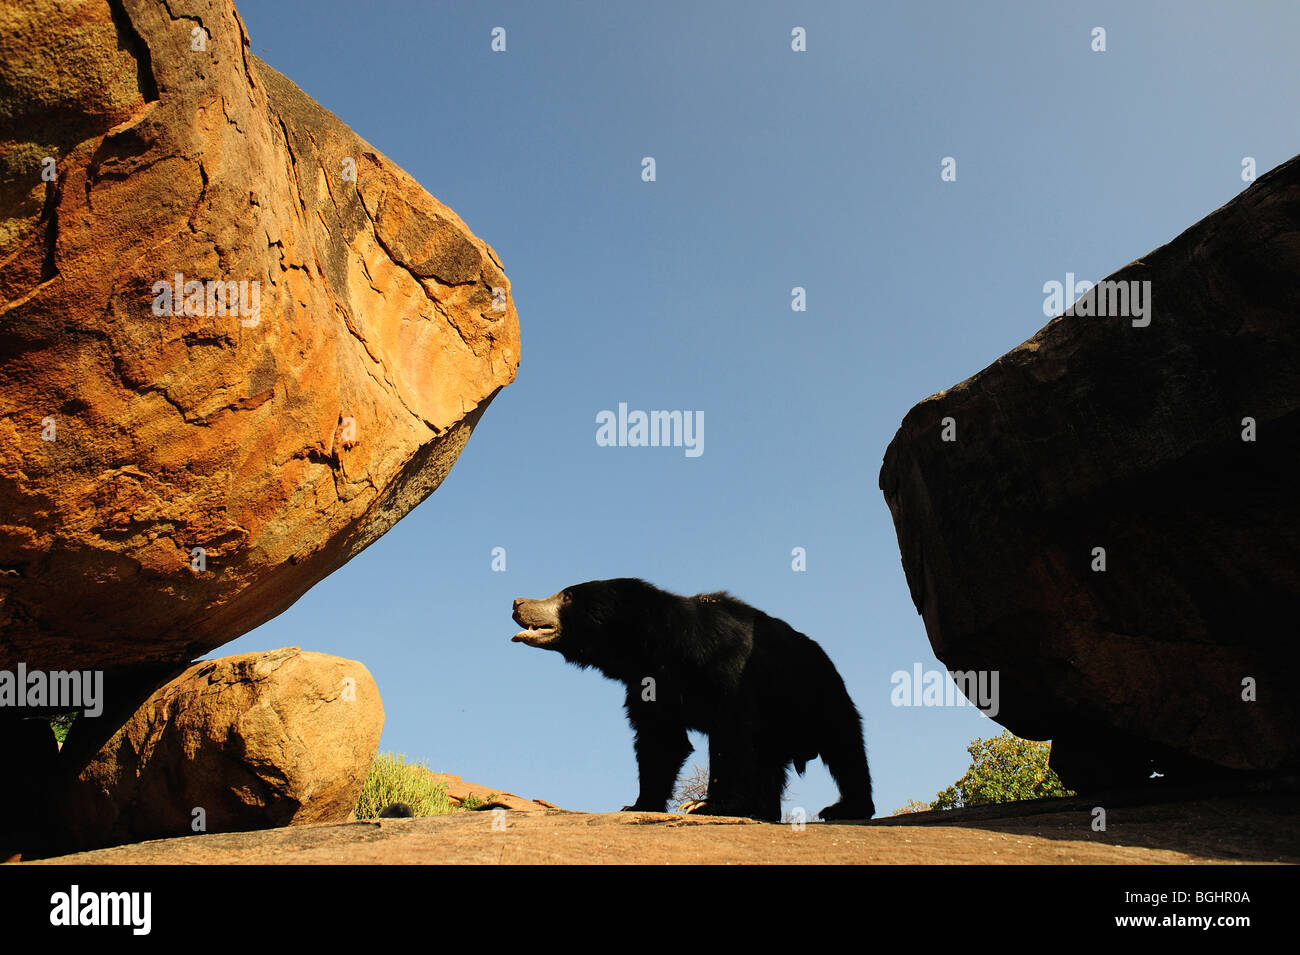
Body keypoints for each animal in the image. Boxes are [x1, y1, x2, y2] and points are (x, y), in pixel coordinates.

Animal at [511, 578, 874, 822]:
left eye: (568, 595)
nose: (517, 602)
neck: (654, 650)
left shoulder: (728, 670)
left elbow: (731, 737)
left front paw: (707, 805)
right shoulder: (647, 685)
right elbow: (660, 741)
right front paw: (639, 803)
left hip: (817, 695)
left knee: (845, 748)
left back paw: (845, 807)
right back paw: (764, 811)